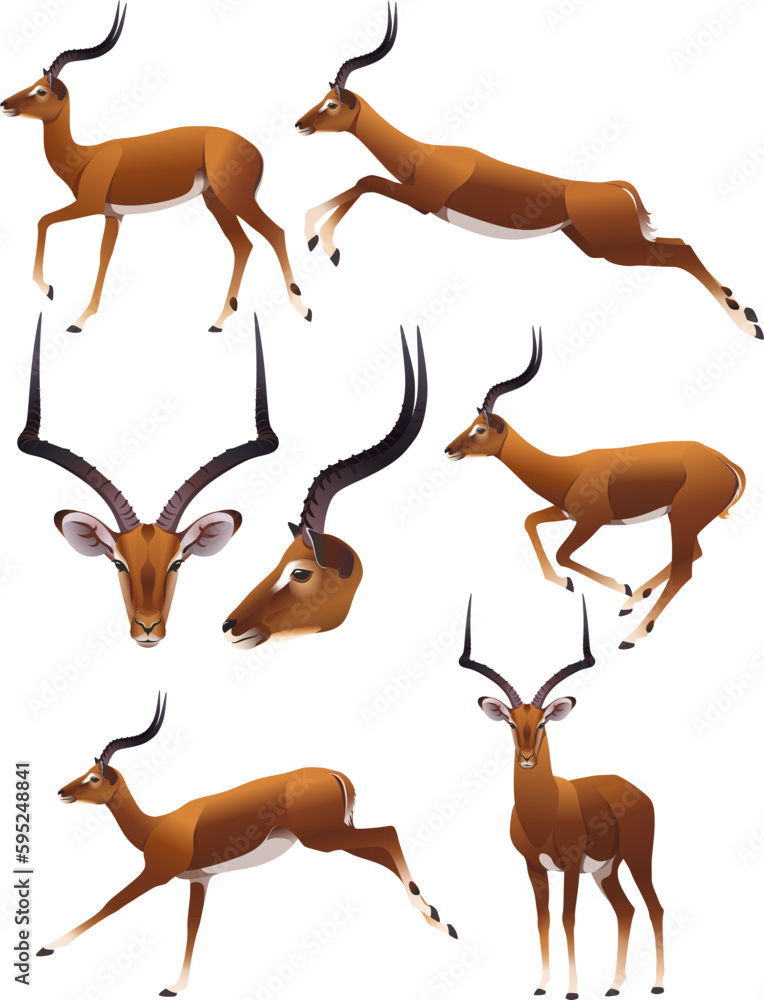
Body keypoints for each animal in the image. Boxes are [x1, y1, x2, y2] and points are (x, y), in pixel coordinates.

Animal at [1, 4, 311, 331]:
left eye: (41, 91)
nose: (5, 104)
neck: (85, 159)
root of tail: (256, 151)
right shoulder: (113, 215)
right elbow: (103, 256)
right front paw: (80, 319)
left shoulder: (89, 205)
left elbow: (43, 220)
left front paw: (49, 290)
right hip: (215, 200)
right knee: (243, 245)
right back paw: (219, 320)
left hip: (235, 198)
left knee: (274, 232)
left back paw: (303, 309)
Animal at [38, 694, 457, 996]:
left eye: (94, 777)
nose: (61, 792)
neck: (155, 827)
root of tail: (337, 775)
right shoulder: (200, 879)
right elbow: (192, 924)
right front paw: (177, 985)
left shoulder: (157, 873)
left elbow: (111, 903)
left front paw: (48, 947)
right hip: (330, 838)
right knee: (384, 843)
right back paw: (439, 920)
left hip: (324, 839)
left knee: (388, 833)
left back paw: (435, 916)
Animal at [297, 4, 759, 341]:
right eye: (321, 98)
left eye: (332, 104)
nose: (300, 124)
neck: (424, 155)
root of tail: (617, 188)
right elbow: (363, 183)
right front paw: (317, 241)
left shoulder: (422, 201)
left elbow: (366, 182)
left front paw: (325, 245)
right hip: (596, 246)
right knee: (680, 246)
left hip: (617, 247)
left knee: (683, 249)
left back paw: (748, 322)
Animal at [445, 329, 745, 648]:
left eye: (480, 428)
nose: (448, 450)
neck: (567, 470)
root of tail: (725, 462)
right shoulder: (567, 512)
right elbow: (530, 521)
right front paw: (567, 583)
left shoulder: (593, 520)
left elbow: (562, 554)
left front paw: (618, 586)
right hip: (683, 520)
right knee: (693, 555)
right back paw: (632, 602)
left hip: (683, 519)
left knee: (683, 570)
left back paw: (632, 634)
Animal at [459, 597, 664, 998]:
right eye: (511, 722)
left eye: (543, 722)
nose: (527, 758)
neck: (544, 813)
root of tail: (633, 789)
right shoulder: (534, 867)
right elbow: (544, 919)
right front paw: (541, 985)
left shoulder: (570, 865)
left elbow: (569, 918)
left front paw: (571, 989)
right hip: (606, 869)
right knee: (626, 910)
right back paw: (614, 986)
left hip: (637, 856)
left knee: (654, 907)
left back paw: (659, 985)